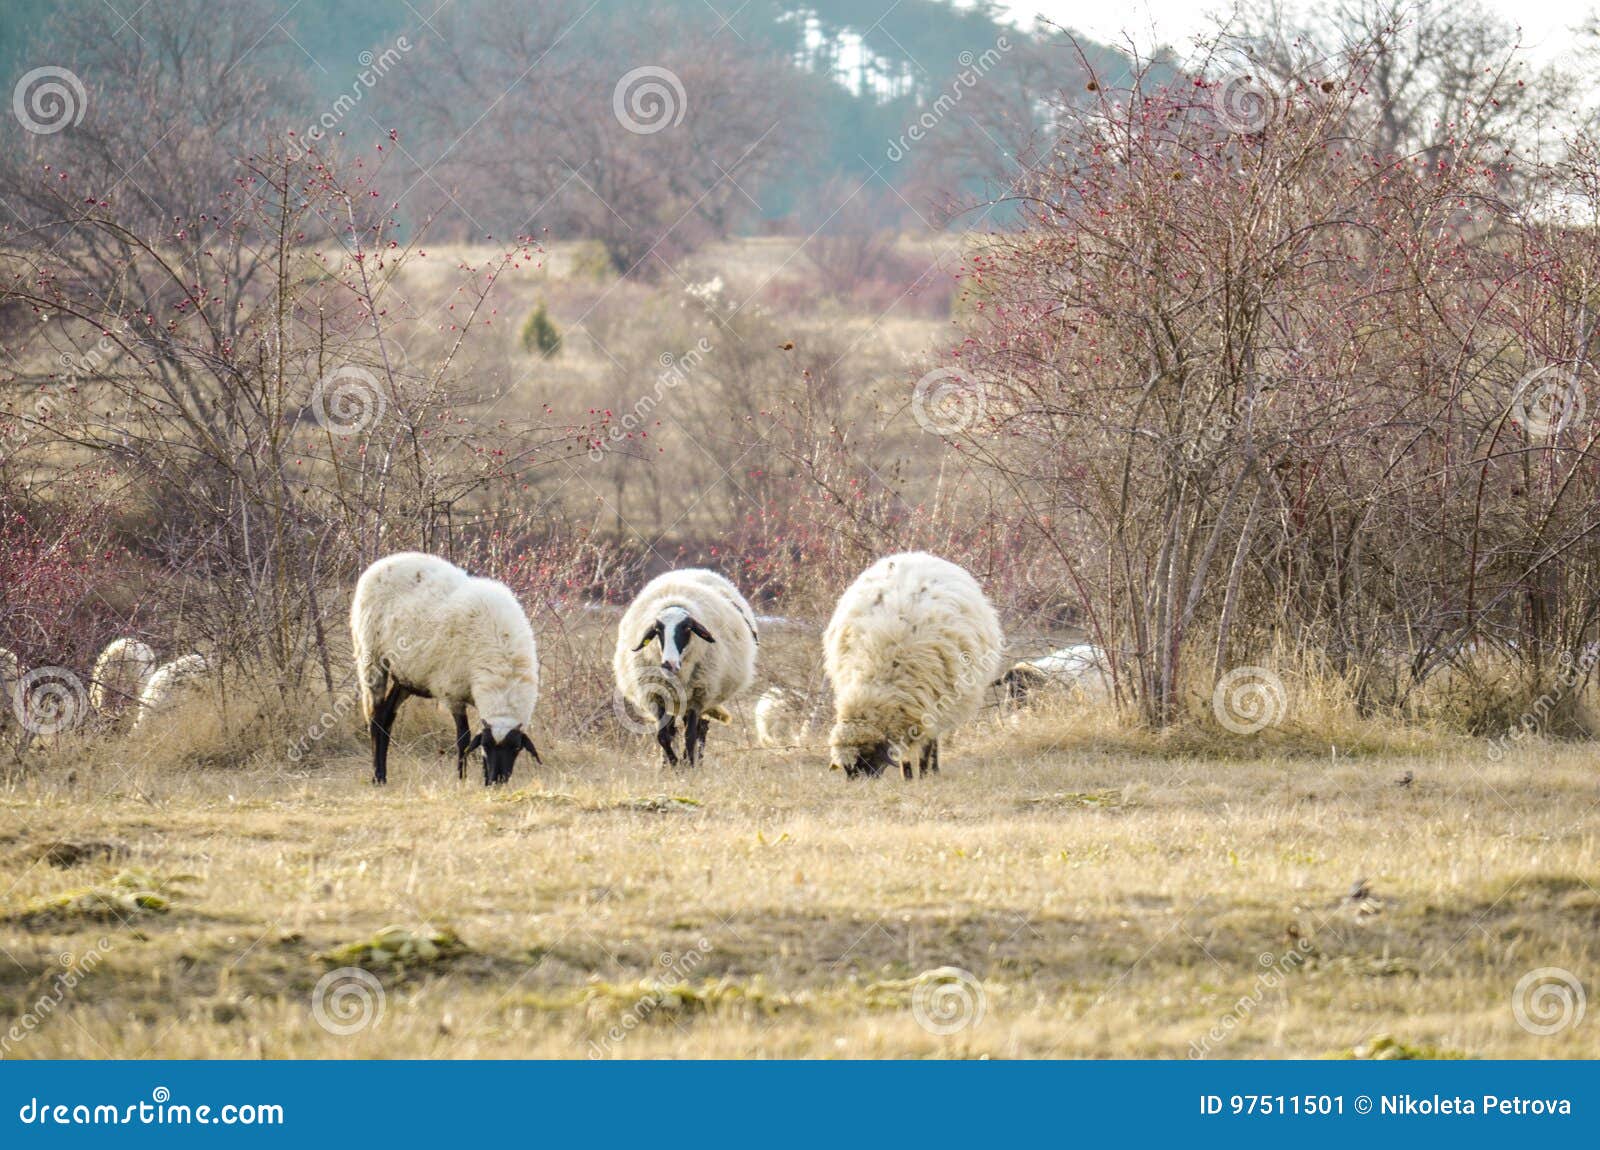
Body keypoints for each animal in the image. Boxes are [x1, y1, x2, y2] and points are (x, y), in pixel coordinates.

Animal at [351, 552, 542, 786]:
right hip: (372, 658)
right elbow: (464, 739)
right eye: (487, 746)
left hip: (405, 676)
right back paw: (377, 776)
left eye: (515, 748)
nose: (496, 781)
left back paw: (383, 775)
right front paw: (462, 779)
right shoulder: (453, 694)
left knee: (387, 716)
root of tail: (384, 562)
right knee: (376, 717)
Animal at [613, 568, 757, 766]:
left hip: (704, 697)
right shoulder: (658, 697)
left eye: (687, 628)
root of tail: (695, 570)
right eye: (657, 630)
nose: (669, 663)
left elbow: (690, 737)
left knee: (701, 730)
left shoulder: (697, 698)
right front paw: (673, 764)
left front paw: (687, 765)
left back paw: (697, 762)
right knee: (674, 730)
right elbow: (663, 736)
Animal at [824, 551, 1002, 779]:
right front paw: (907, 776)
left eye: (868, 759)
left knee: (934, 740)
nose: (861, 784)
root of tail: (916, 555)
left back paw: (933, 770)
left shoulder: (929, 703)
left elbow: (926, 746)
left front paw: (924, 774)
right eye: (848, 769)